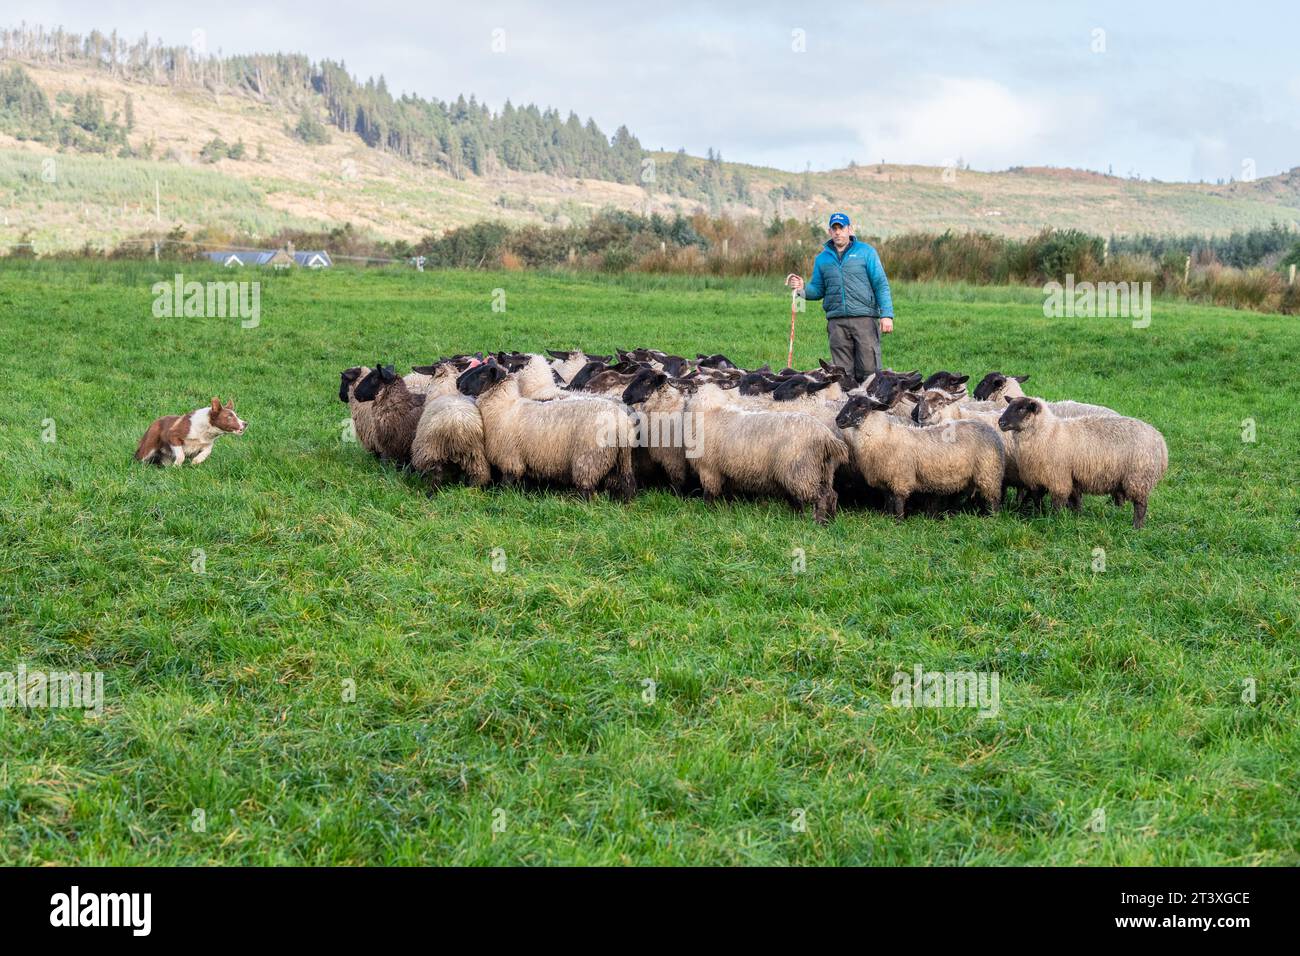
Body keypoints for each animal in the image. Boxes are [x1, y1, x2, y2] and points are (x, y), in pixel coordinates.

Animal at [457, 359, 636, 499]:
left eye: (482, 375)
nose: (459, 385)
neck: (504, 407)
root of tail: (621, 422)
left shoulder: (511, 458)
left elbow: (507, 482)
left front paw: (502, 496)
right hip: (621, 460)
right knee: (626, 483)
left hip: (589, 458)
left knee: (587, 488)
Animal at [682, 381, 849, 524]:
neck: (710, 411)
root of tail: (825, 436)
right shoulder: (725, 470)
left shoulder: (709, 469)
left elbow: (709, 493)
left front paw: (707, 511)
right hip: (823, 470)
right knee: (831, 495)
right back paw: (829, 520)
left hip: (801, 470)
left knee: (819, 497)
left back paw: (816, 522)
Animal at [835, 395, 1005, 518]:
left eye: (862, 406)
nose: (839, 420)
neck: (883, 435)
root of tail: (992, 432)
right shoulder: (885, 479)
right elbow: (888, 500)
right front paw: (888, 518)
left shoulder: (900, 478)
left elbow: (898, 502)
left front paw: (898, 522)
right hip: (969, 476)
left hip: (989, 473)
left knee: (993, 499)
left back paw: (993, 518)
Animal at [998, 397, 1168, 528]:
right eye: (1009, 405)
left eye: (1021, 409)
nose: (1001, 422)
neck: (1048, 433)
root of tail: (1160, 440)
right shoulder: (1038, 478)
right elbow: (1040, 499)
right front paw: (1045, 516)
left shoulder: (1058, 478)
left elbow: (1058, 502)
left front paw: (1055, 521)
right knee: (1121, 498)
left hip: (1139, 477)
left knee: (1141, 505)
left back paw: (1136, 527)